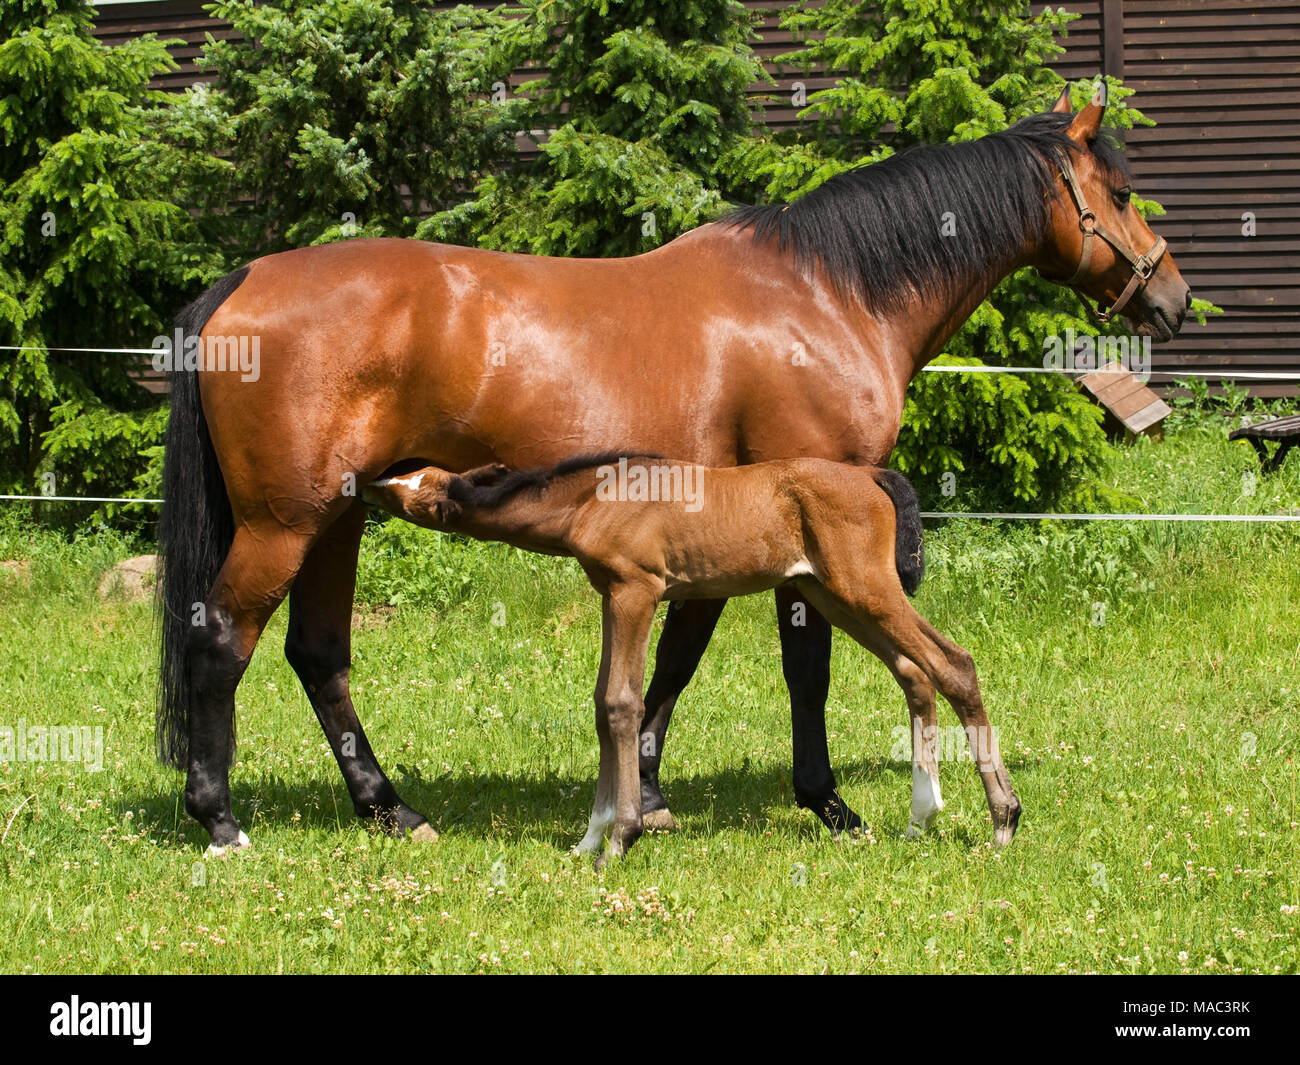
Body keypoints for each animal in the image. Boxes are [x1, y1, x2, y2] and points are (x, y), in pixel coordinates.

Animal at [361, 453, 1015, 863]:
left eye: (421, 489)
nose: (367, 482)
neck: (594, 500)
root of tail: (874, 476)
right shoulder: (613, 595)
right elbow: (601, 705)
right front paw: (587, 841)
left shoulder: (637, 591)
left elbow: (623, 704)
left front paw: (619, 840)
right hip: (833, 593)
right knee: (914, 674)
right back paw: (921, 816)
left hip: (864, 588)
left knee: (954, 665)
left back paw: (1003, 820)